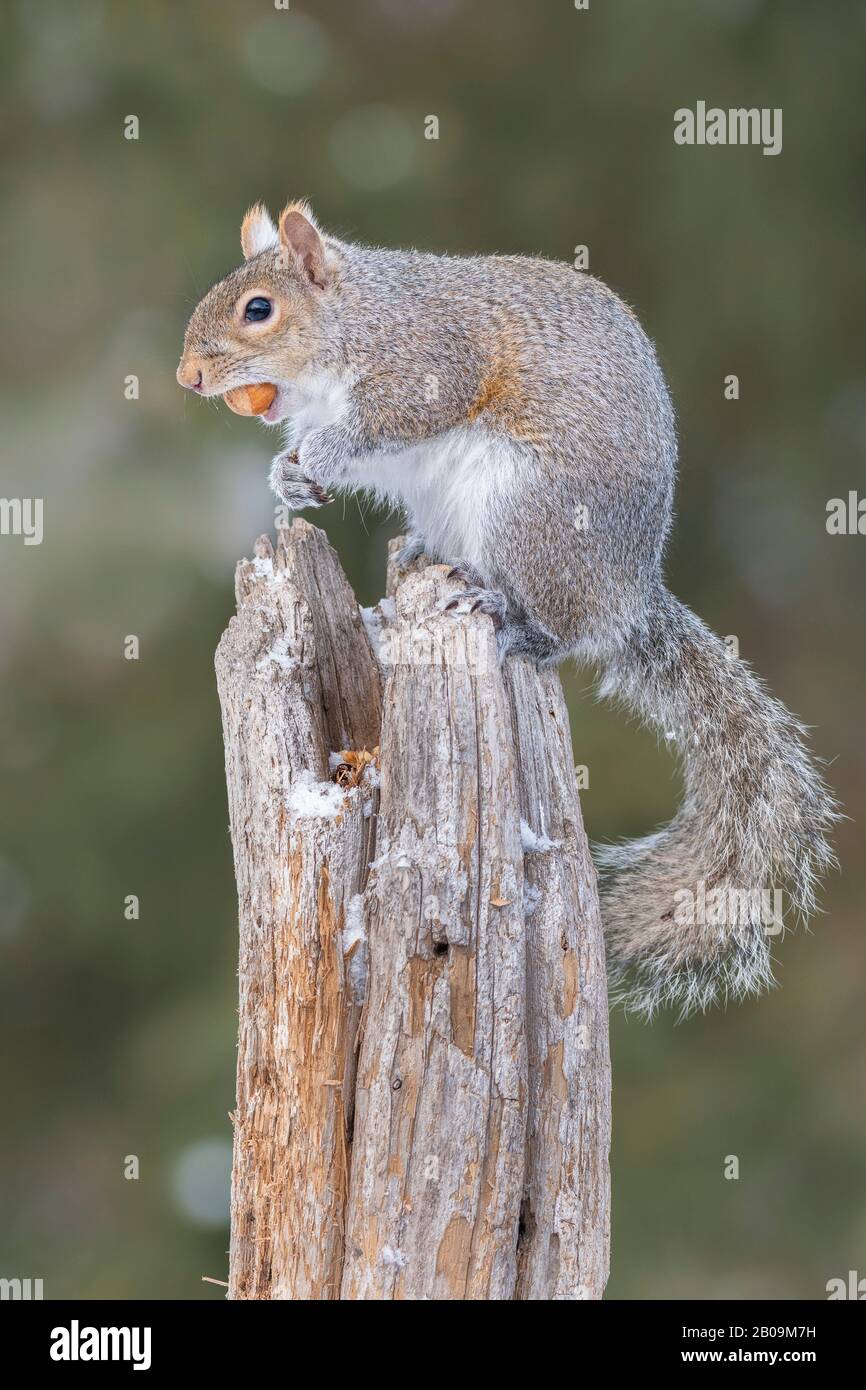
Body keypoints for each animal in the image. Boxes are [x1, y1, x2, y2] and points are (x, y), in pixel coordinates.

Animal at [178, 198, 837, 1018]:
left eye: (259, 310)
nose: (188, 375)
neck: (357, 316)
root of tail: (628, 593)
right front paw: (289, 475)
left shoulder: (428, 362)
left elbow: (392, 417)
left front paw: (322, 455)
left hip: (529, 514)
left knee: (556, 632)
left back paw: (499, 604)